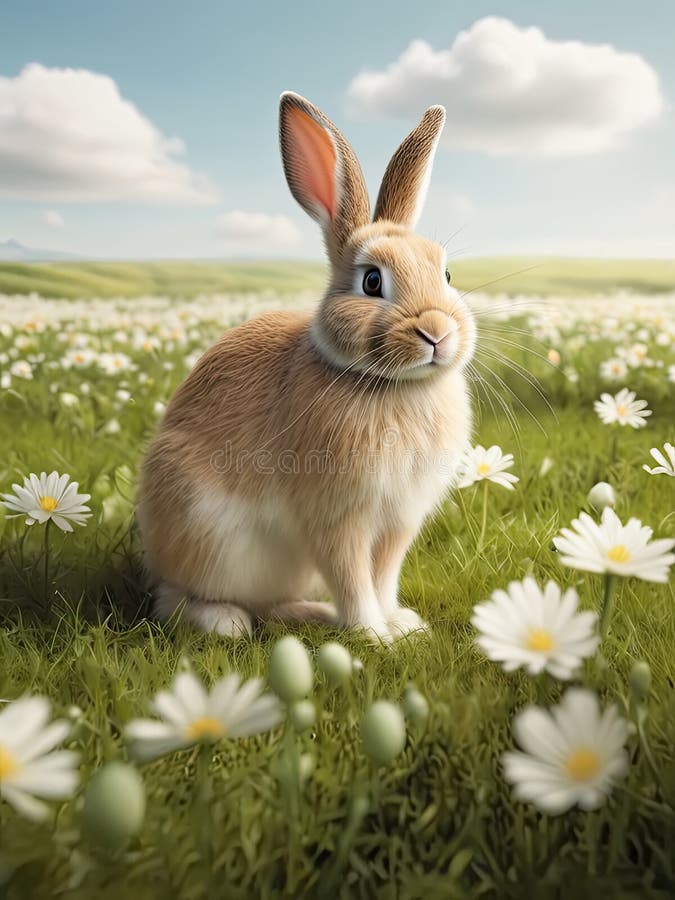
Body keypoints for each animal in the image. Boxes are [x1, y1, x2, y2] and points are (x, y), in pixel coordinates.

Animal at [137, 91, 476, 643]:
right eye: (372, 281)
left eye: (445, 274)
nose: (437, 333)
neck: (390, 385)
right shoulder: (336, 517)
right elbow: (353, 578)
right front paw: (373, 635)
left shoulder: (397, 522)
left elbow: (383, 577)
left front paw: (403, 626)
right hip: (206, 539)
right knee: (179, 600)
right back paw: (227, 621)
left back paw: (313, 614)